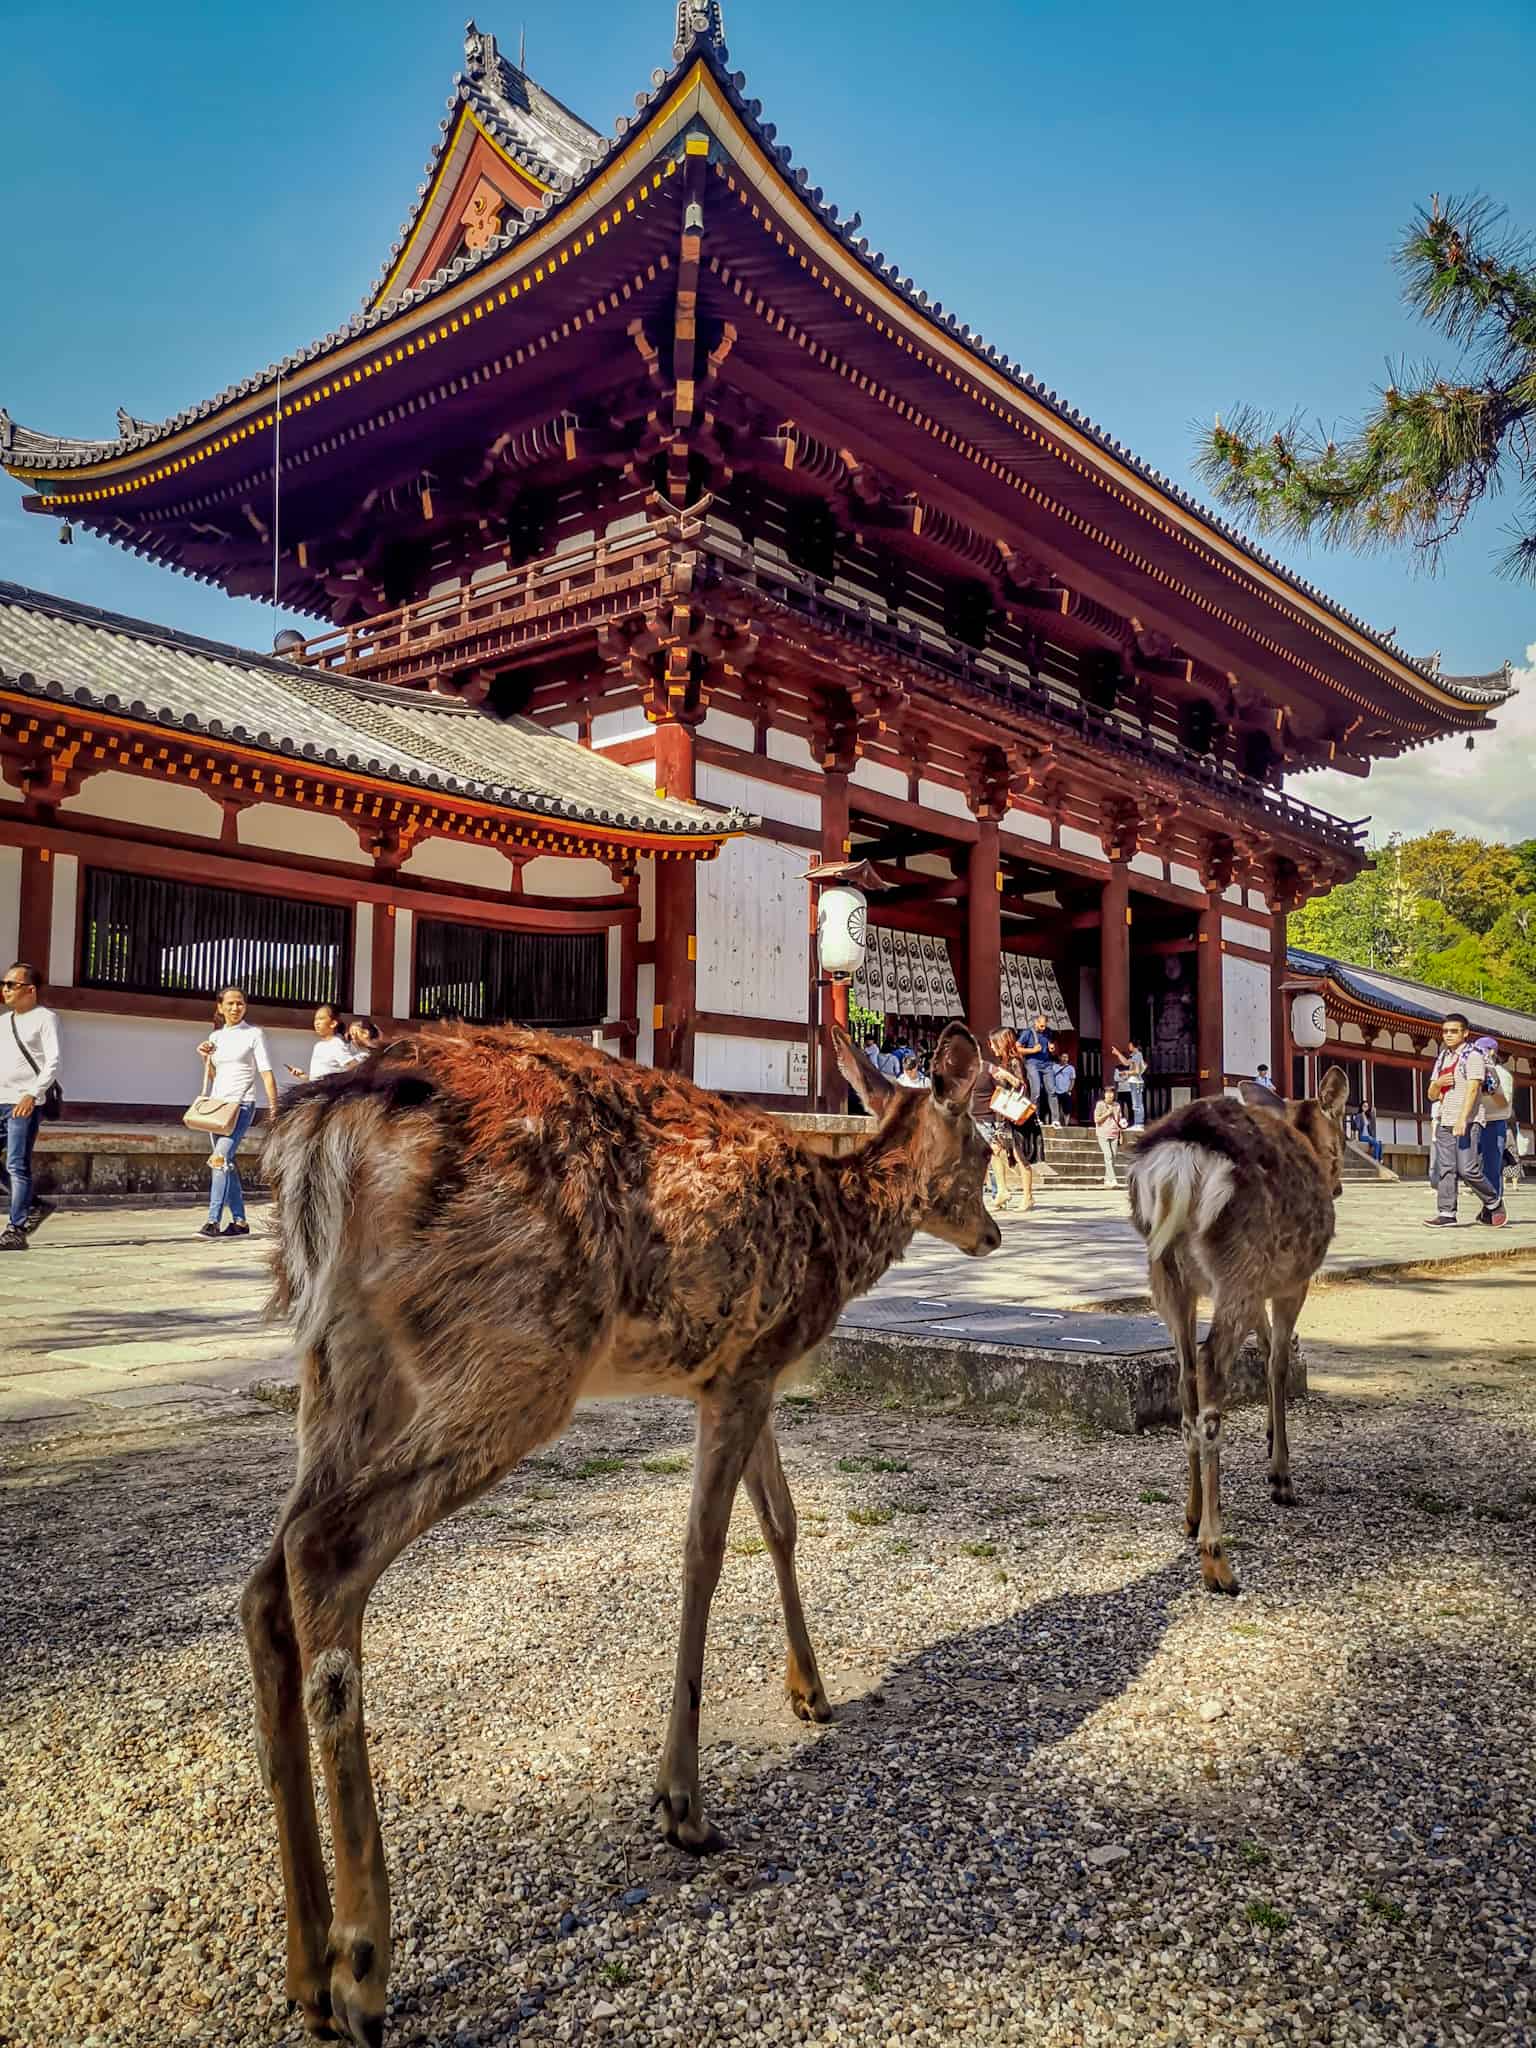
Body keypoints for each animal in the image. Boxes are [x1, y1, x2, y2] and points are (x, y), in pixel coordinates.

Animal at [241, 1019, 997, 2046]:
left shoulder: (734, 1373)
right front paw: (683, 1805)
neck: (838, 1229)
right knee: (324, 1550)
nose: (993, 1232)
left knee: (265, 1584)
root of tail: (323, 1130)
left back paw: (305, 1970)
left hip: (342, 1361)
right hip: (518, 1349)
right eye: (989, 1148)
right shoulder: (751, 1361)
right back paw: (362, 1971)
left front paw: (812, 1692)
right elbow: (706, 1551)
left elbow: (782, 1518)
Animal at [1125, 1068, 1348, 1596]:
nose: (1339, 1182)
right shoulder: (1291, 1282)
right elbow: (1279, 1360)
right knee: (1209, 1366)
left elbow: (1266, 1348)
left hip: (1168, 1272)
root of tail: (1178, 1158)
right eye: (1343, 1132)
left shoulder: (1263, 1286)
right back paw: (1217, 1559)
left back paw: (1190, 1515)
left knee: (1184, 1374)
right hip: (1240, 1261)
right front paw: (1280, 1476)